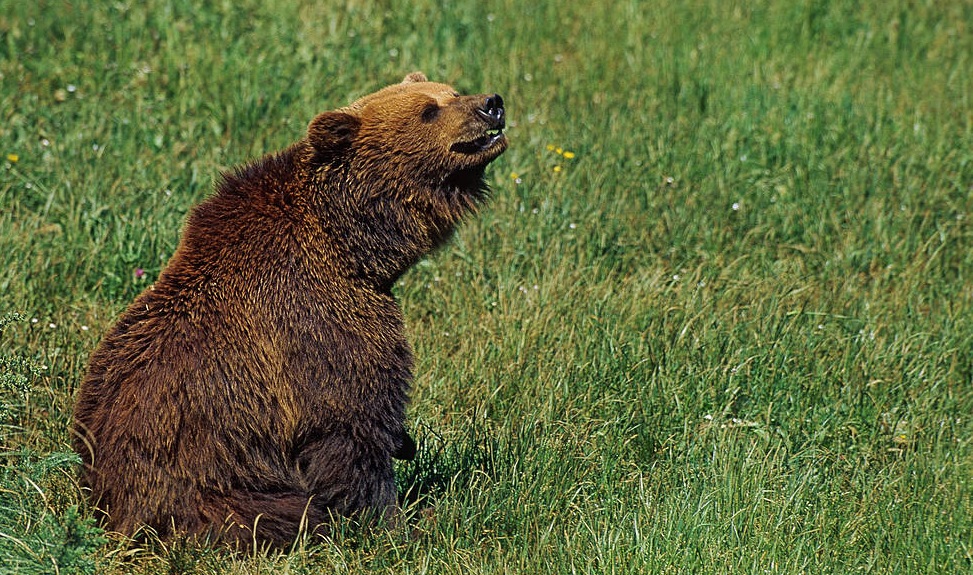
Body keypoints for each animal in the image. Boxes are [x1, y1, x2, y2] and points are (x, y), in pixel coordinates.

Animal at [72, 72, 507, 550]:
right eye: (429, 111)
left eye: (452, 91)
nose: (491, 103)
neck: (353, 246)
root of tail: (107, 506)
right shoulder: (314, 322)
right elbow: (351, 425)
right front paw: (397, 523)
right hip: (210, 491)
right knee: (284, 514)